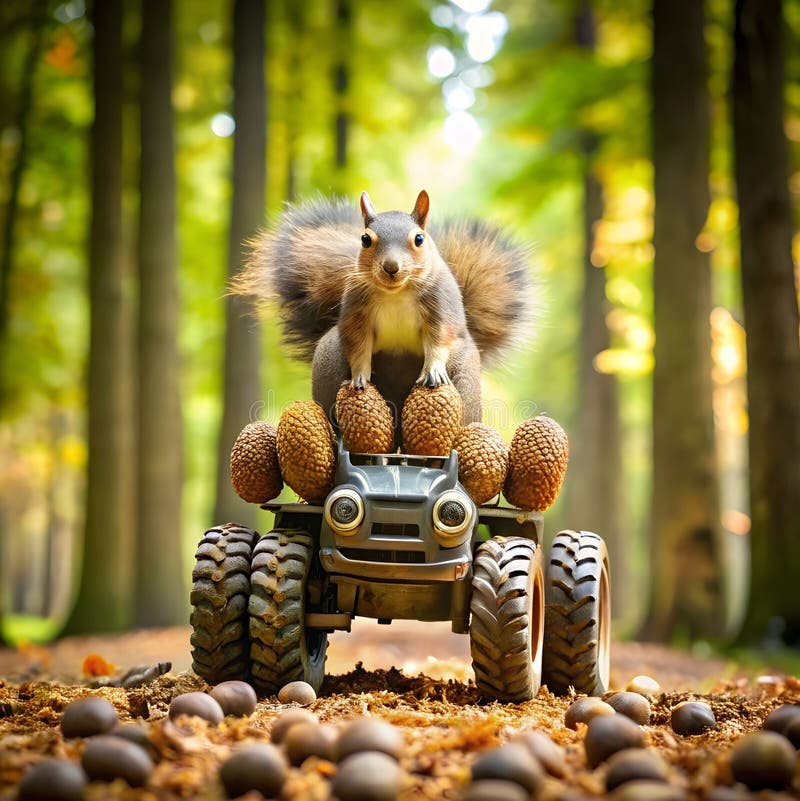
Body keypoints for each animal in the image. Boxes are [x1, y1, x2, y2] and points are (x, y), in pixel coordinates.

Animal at [237, 190, 534, 437]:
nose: (391, 267)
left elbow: (439, 338)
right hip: (330, 361)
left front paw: (433, 368)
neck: (396, 293)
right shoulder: (357, 310)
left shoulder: (440, 305)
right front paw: (360, 375)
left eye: (419, 238)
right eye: (365, 239)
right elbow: (358, 343)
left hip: (465, 376)